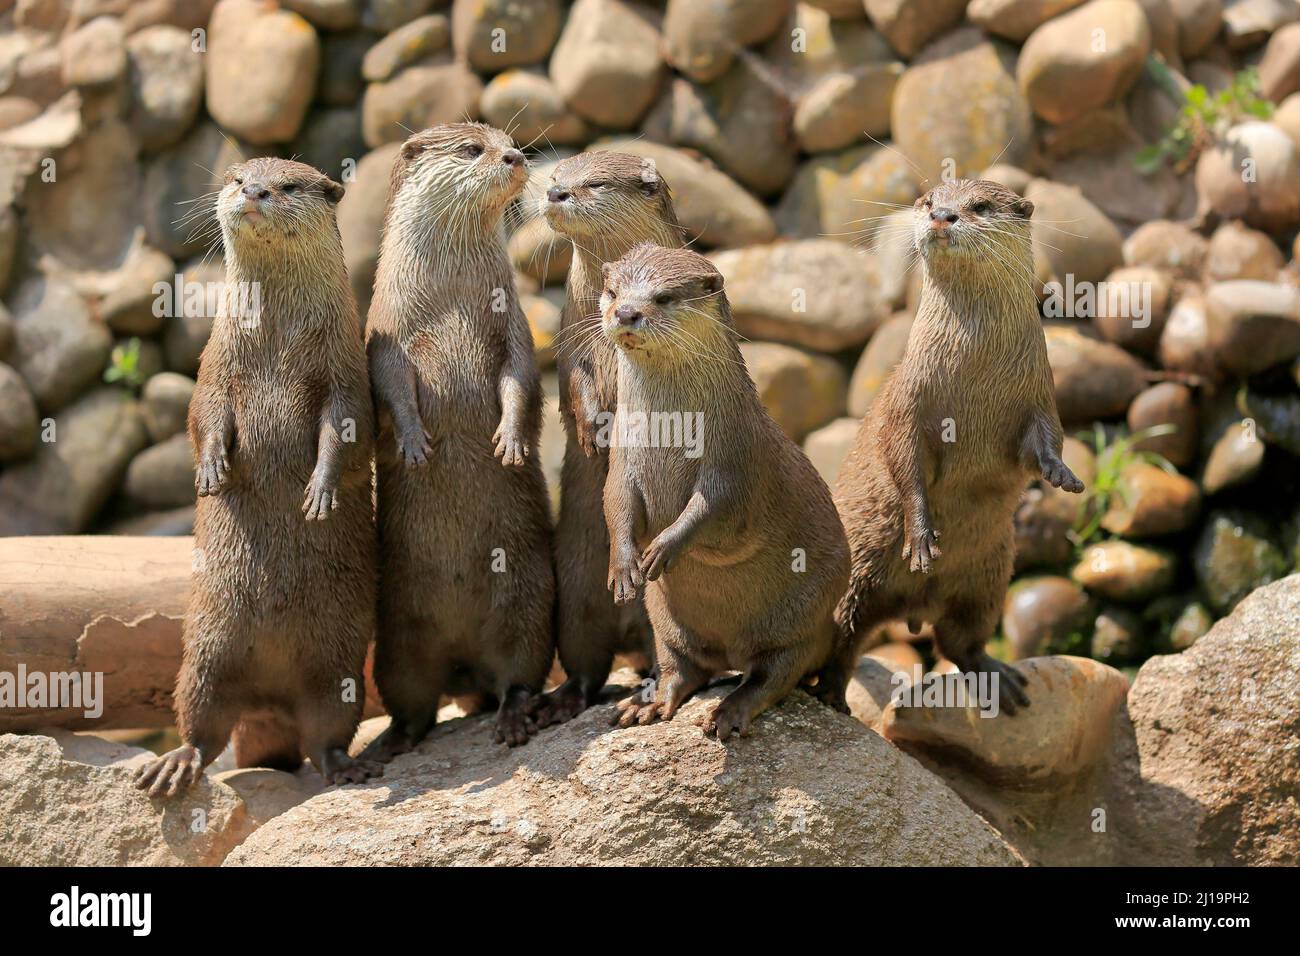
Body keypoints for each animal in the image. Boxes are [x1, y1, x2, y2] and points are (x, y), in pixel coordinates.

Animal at [135, 158, 378, 797]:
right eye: (236, 177)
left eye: (289, 185)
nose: (256, 191)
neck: (277, 345)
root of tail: (270, 699)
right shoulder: (216, 365)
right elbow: (202, 416)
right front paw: (211, 471)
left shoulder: (346, 372)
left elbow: (345, 430)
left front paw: (320, 489)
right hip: (205, 650)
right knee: (202, 721)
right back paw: (176, 764)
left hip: (337, 670)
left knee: (325, 731)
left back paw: (348, 766)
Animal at [361, 123, 554, 759]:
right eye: (474, 149)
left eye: (508, 139)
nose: (515, 157)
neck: (448, 304)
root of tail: (465, 663)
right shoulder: (385, 332)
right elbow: (391, 388)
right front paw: (415, 443)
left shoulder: (513, 325)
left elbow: (520, 378)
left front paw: (510, 441)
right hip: (397, 639)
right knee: (412, 701)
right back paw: (390, 743)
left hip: (527, 603)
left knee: (519, 673)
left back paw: (514, 718)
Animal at [530, 151, 686, 727]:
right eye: (556, 175)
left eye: (593, 183)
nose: (554, 193)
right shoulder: (570, 335)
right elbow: (573, 384)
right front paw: (590, 431)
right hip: (574, 595)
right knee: (584, 665)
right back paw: (559, 702)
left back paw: (647, 688)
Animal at [601, 244, 850, 740]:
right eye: (614, 291)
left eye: (663, 297)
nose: (626, 312)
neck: (669, 432)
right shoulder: (621, 458)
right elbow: (615, 503)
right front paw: (623, 568)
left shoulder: (734, 456)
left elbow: (716, 507)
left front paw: (663, 547)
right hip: (665, 618)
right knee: (680, 666)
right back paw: (647, 704)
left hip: (807, 616)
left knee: (776, 673)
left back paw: (728, 713)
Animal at [816, 179, 1084, 716]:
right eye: (926, 201)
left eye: (979, 206)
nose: (942, 215)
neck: (974, 374)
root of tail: (914, 605)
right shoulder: (908, 402)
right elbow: (903, 462)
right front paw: (920, 537)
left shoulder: (1040, 396)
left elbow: (1045, 441)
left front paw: (1060, 473)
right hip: (855, 572)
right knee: (844, 639)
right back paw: (831, 695)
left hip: (990, 577)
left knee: (961, 640)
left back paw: (997, 677)